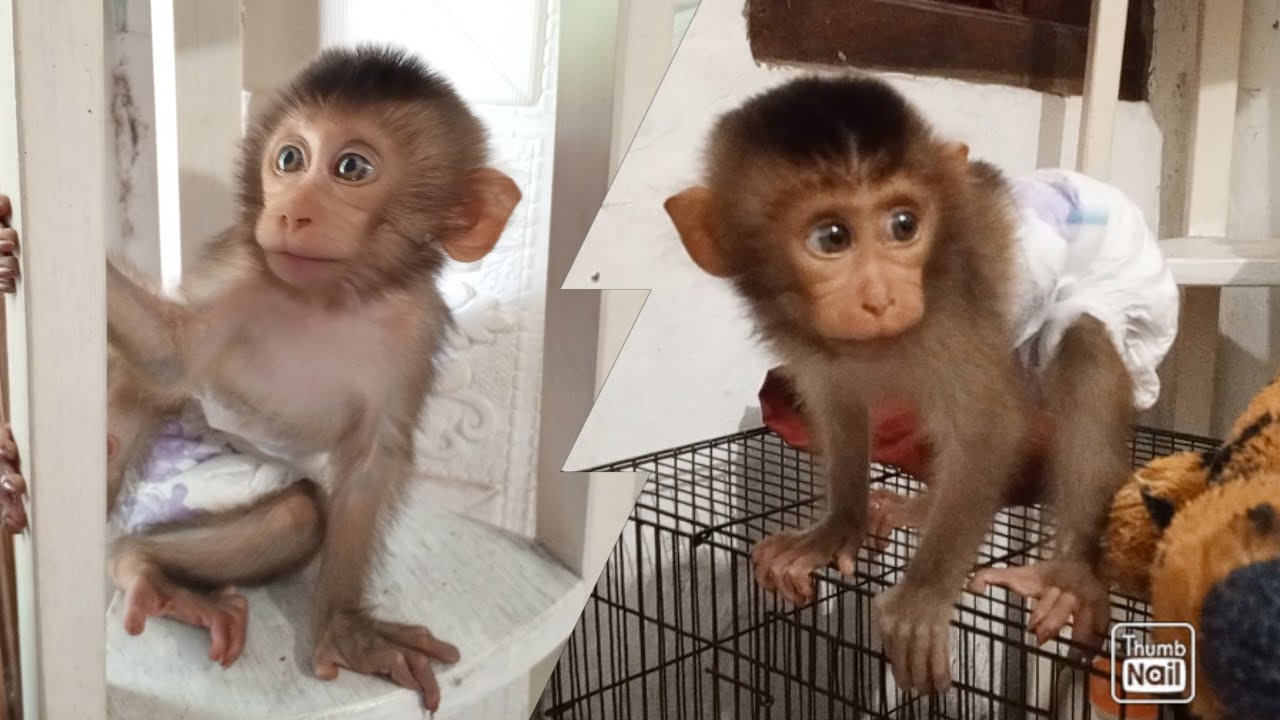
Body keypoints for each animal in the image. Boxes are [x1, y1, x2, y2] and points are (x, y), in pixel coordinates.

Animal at [0, 45, 521, 712]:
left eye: (352, 167)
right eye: (290, 158)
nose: (291, 211)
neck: (332, 299)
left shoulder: (416, 327)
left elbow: (371, 461)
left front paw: (347, 629)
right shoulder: (242, 280)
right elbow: (168, 356)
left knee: (295, 515)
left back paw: (145, 567)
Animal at [663, 75, 1179, 692]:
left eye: (904, 226)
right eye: (831, 237)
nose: (881, 298)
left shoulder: (951, 311)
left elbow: (986, 428)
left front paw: (922, 596)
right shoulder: (810, 344)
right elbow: (838, 407)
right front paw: (836, 530)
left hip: (1137, 294)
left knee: (1084, 343)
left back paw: (1071, 575)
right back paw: (919, 509)